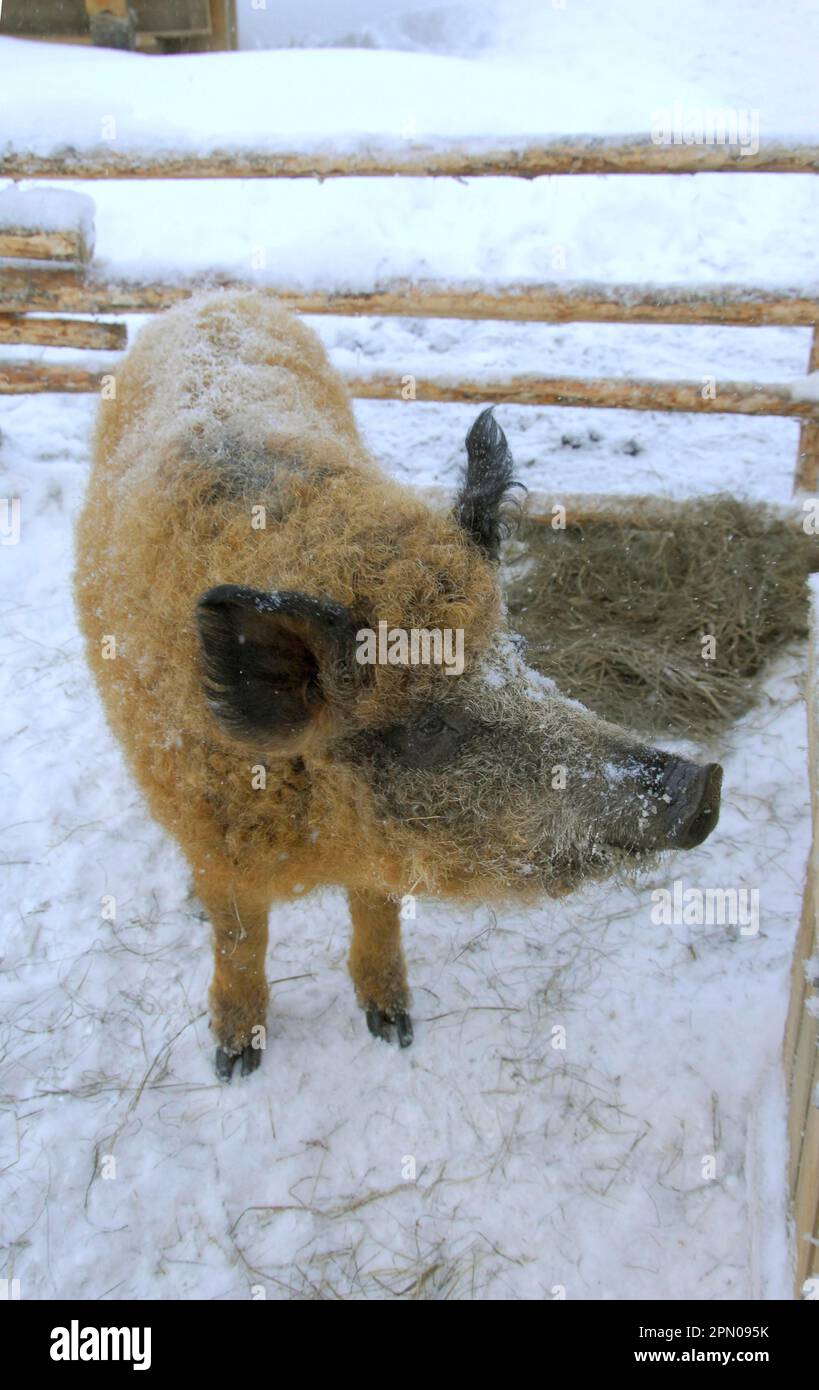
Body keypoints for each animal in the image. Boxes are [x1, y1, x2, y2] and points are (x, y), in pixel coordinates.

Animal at [74, 291, 722, 1080]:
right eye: (431, 725)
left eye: (515, 651)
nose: (701, 783)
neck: (312, 824)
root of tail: (219, 295)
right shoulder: (214, 839)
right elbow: (239, 941)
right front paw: (234, 1064)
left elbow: (378, 910)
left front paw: (394, 1027)